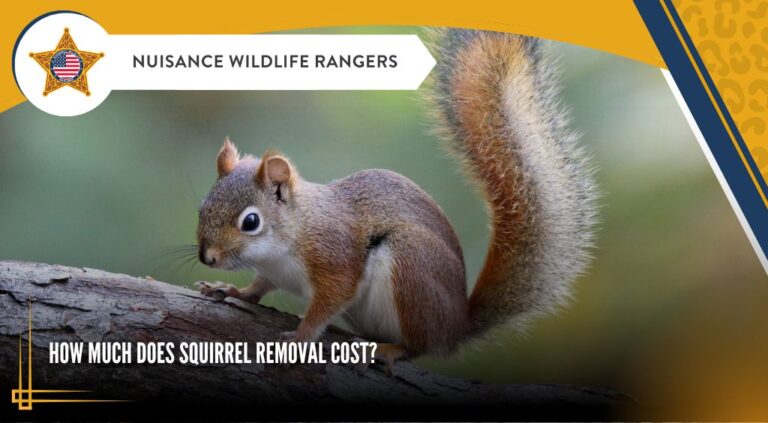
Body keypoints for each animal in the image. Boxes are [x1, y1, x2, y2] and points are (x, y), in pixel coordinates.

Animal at [195, 29, 597, 367]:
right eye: (203, 207)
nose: (207, 258)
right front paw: (230, 289)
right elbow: (259, 287)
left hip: (411, 266)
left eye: (251, 221)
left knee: (420, 345)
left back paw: (389, 348)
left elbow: (326, 303)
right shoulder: (273, 272)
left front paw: (299, 337)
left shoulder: (335, 259)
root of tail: (456, 326)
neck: (290, 237)